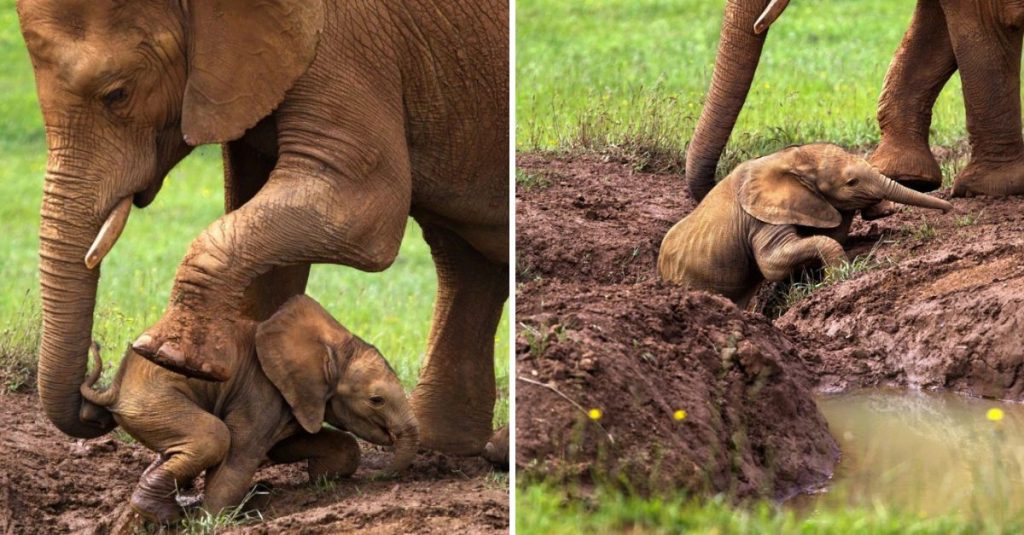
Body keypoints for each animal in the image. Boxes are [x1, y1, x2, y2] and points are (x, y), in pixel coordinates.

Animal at [18, 0, 508, 457]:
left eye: (117, 94)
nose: (95, 408)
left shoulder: (345, 43)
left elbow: (357, 209)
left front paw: (168, 356)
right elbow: (266, 233)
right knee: (463, 260)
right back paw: (448, 446)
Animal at [79, 295, 417, 523]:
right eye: (377, 400)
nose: (379, 477)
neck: (332, 346)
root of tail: (114, 388)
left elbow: (288, 444)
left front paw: (322, 476)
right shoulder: (260, 390)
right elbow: (240, 456)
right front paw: (209, 522)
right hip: (153, 399)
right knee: (213, 437)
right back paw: (164, 514)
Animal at [658, 144, 953, 306]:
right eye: (851, 182)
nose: (949, 207)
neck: (789, 158)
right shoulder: (763, 216)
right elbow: (772, 264)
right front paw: (837, 278)